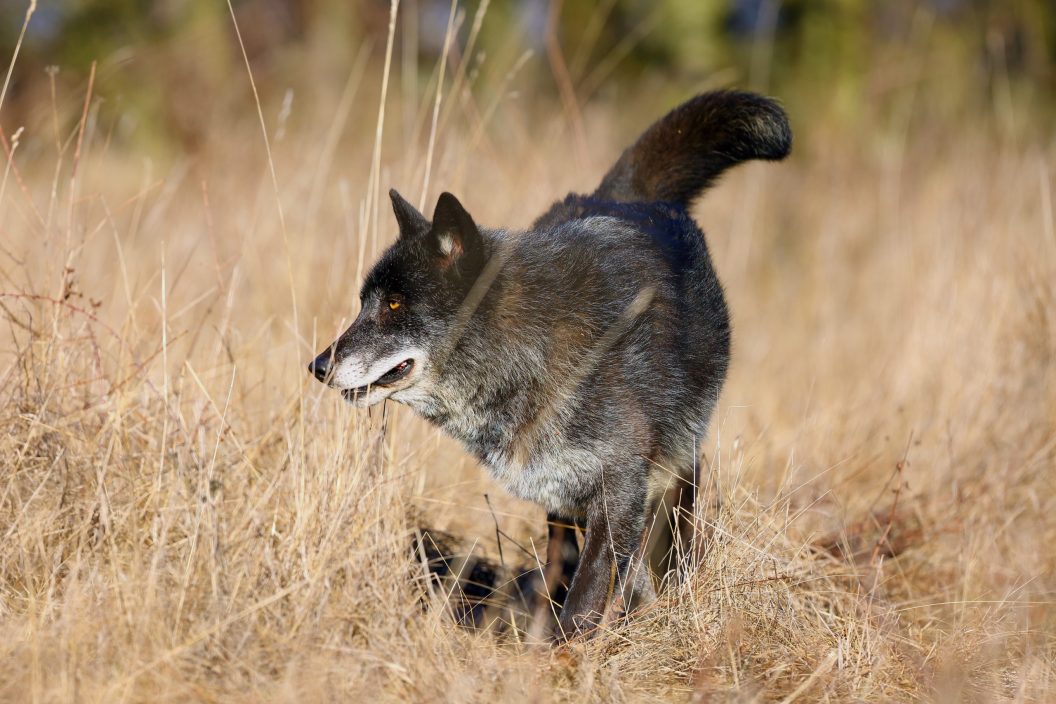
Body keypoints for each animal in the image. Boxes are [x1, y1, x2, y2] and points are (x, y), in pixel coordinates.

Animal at [309, 90, 791, 639]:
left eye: (393, 305)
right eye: (363, 302)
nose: (318, 365)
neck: (531, 354)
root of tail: (623, 198)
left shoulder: (619, 489)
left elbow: (589, 594)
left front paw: (572, 651)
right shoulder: (561, 490)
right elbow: (573, 571)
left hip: (678, 462)